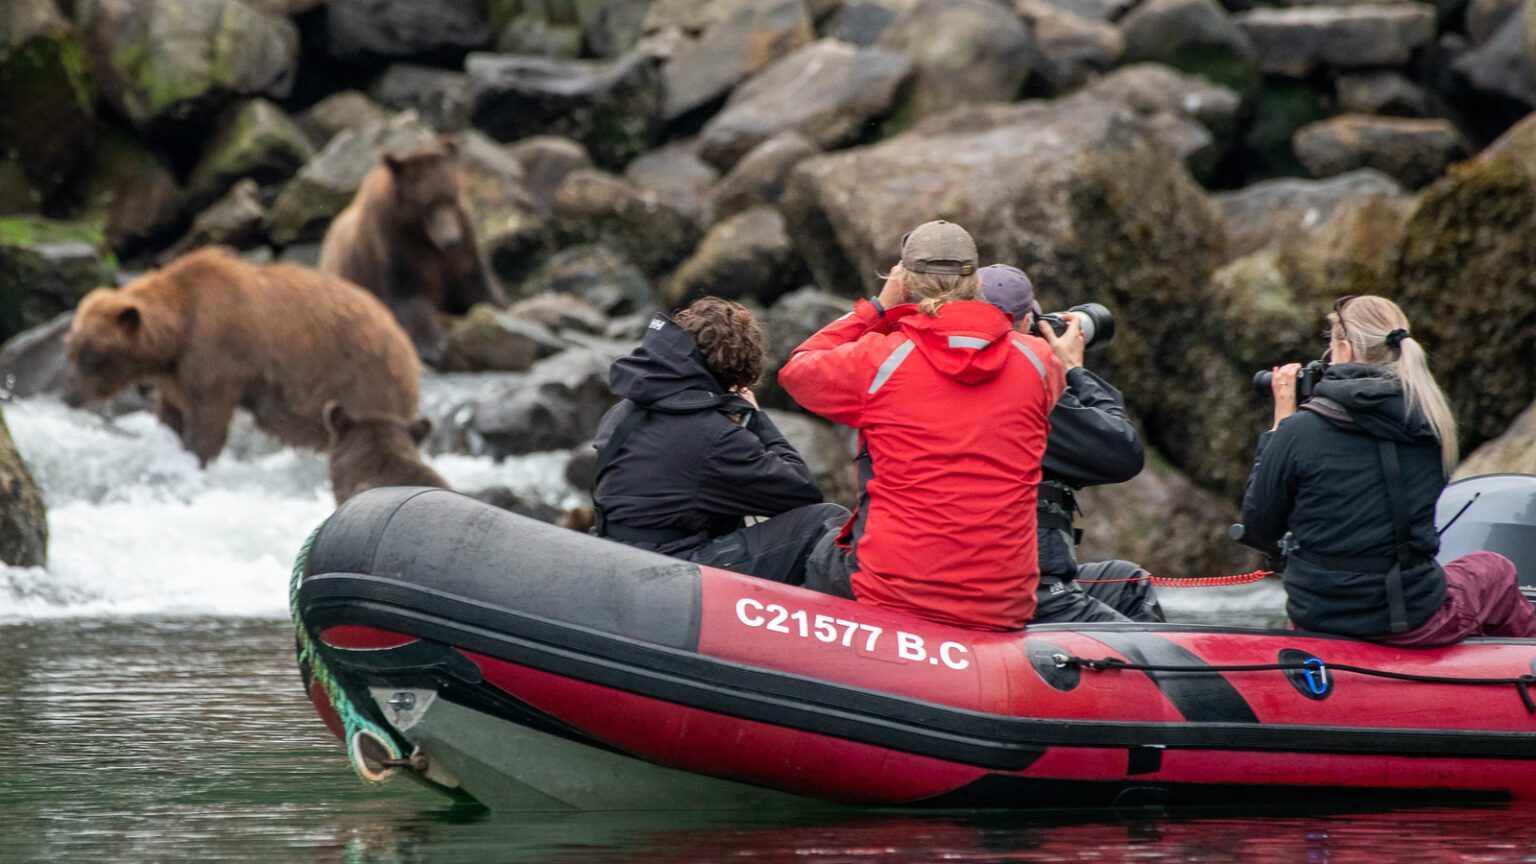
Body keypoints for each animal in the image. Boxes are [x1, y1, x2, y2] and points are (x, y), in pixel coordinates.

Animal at [66, 248, 421, 467]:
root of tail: (403, 339)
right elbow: (172, 413)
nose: (69, 397)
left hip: (362, 380)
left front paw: (197, 453)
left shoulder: (218, 351)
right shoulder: (177, 372)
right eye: (71, 349)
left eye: (91, 354)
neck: (179, 330)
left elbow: (208, 415)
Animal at [318, 136, 504, 367]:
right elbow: (410, 295)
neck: (425, 238)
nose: (451, 240)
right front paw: (431, 346)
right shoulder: (395, 246)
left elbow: (475, 285)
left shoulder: (463, 243)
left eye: (451, 197)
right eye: (427, 205)